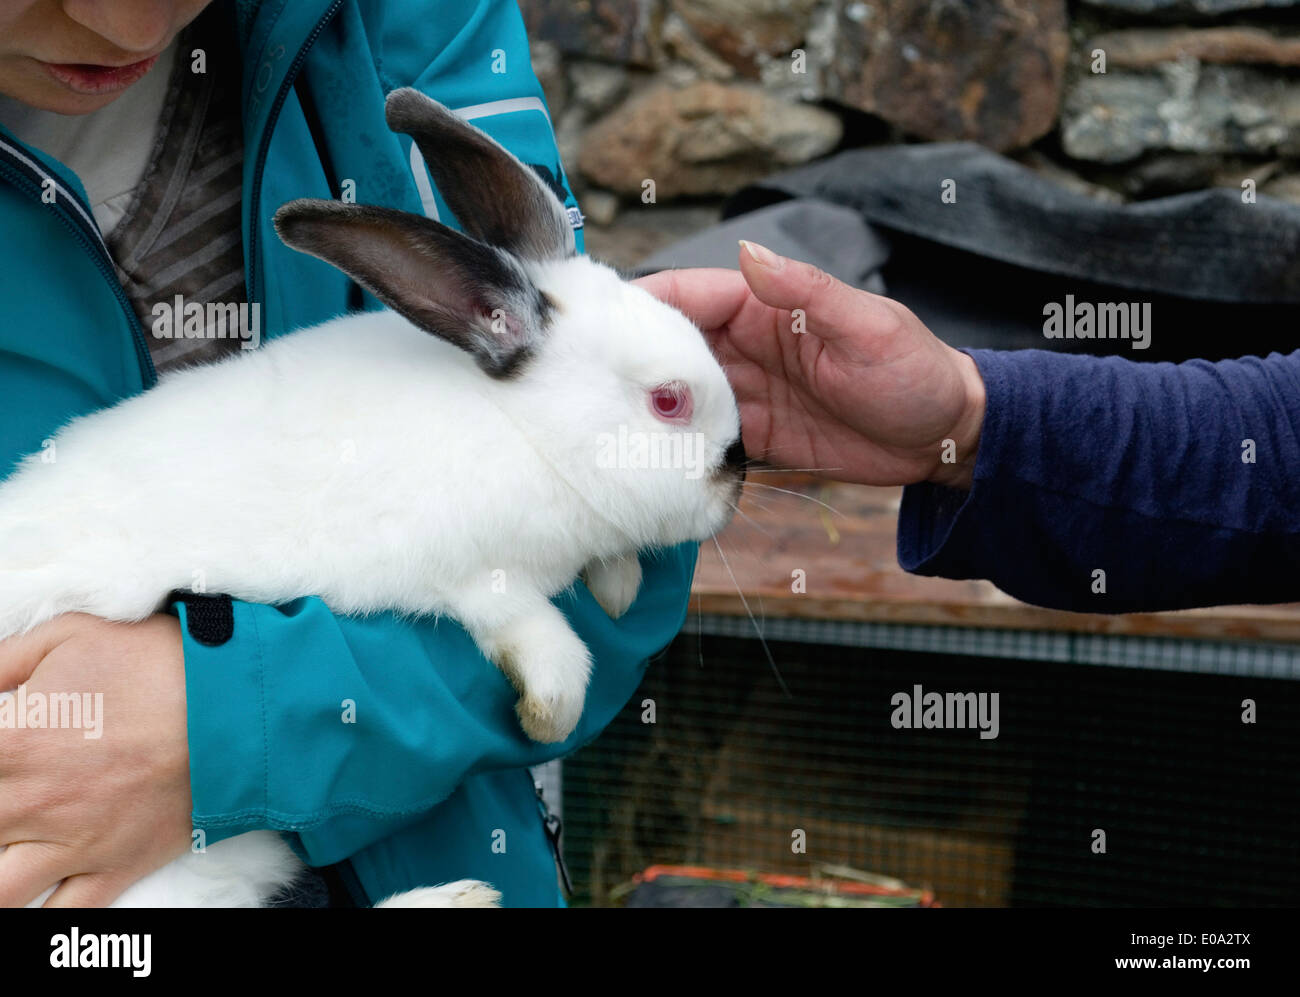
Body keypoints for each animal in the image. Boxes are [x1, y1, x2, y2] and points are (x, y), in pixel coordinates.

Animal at [0, 88, 745, 907]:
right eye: (668, 401)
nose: (737, 468)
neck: (521, 426)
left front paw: (618, 585)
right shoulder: (468, 577)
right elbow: (545, 642)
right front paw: (552, 710)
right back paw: (458, 896)